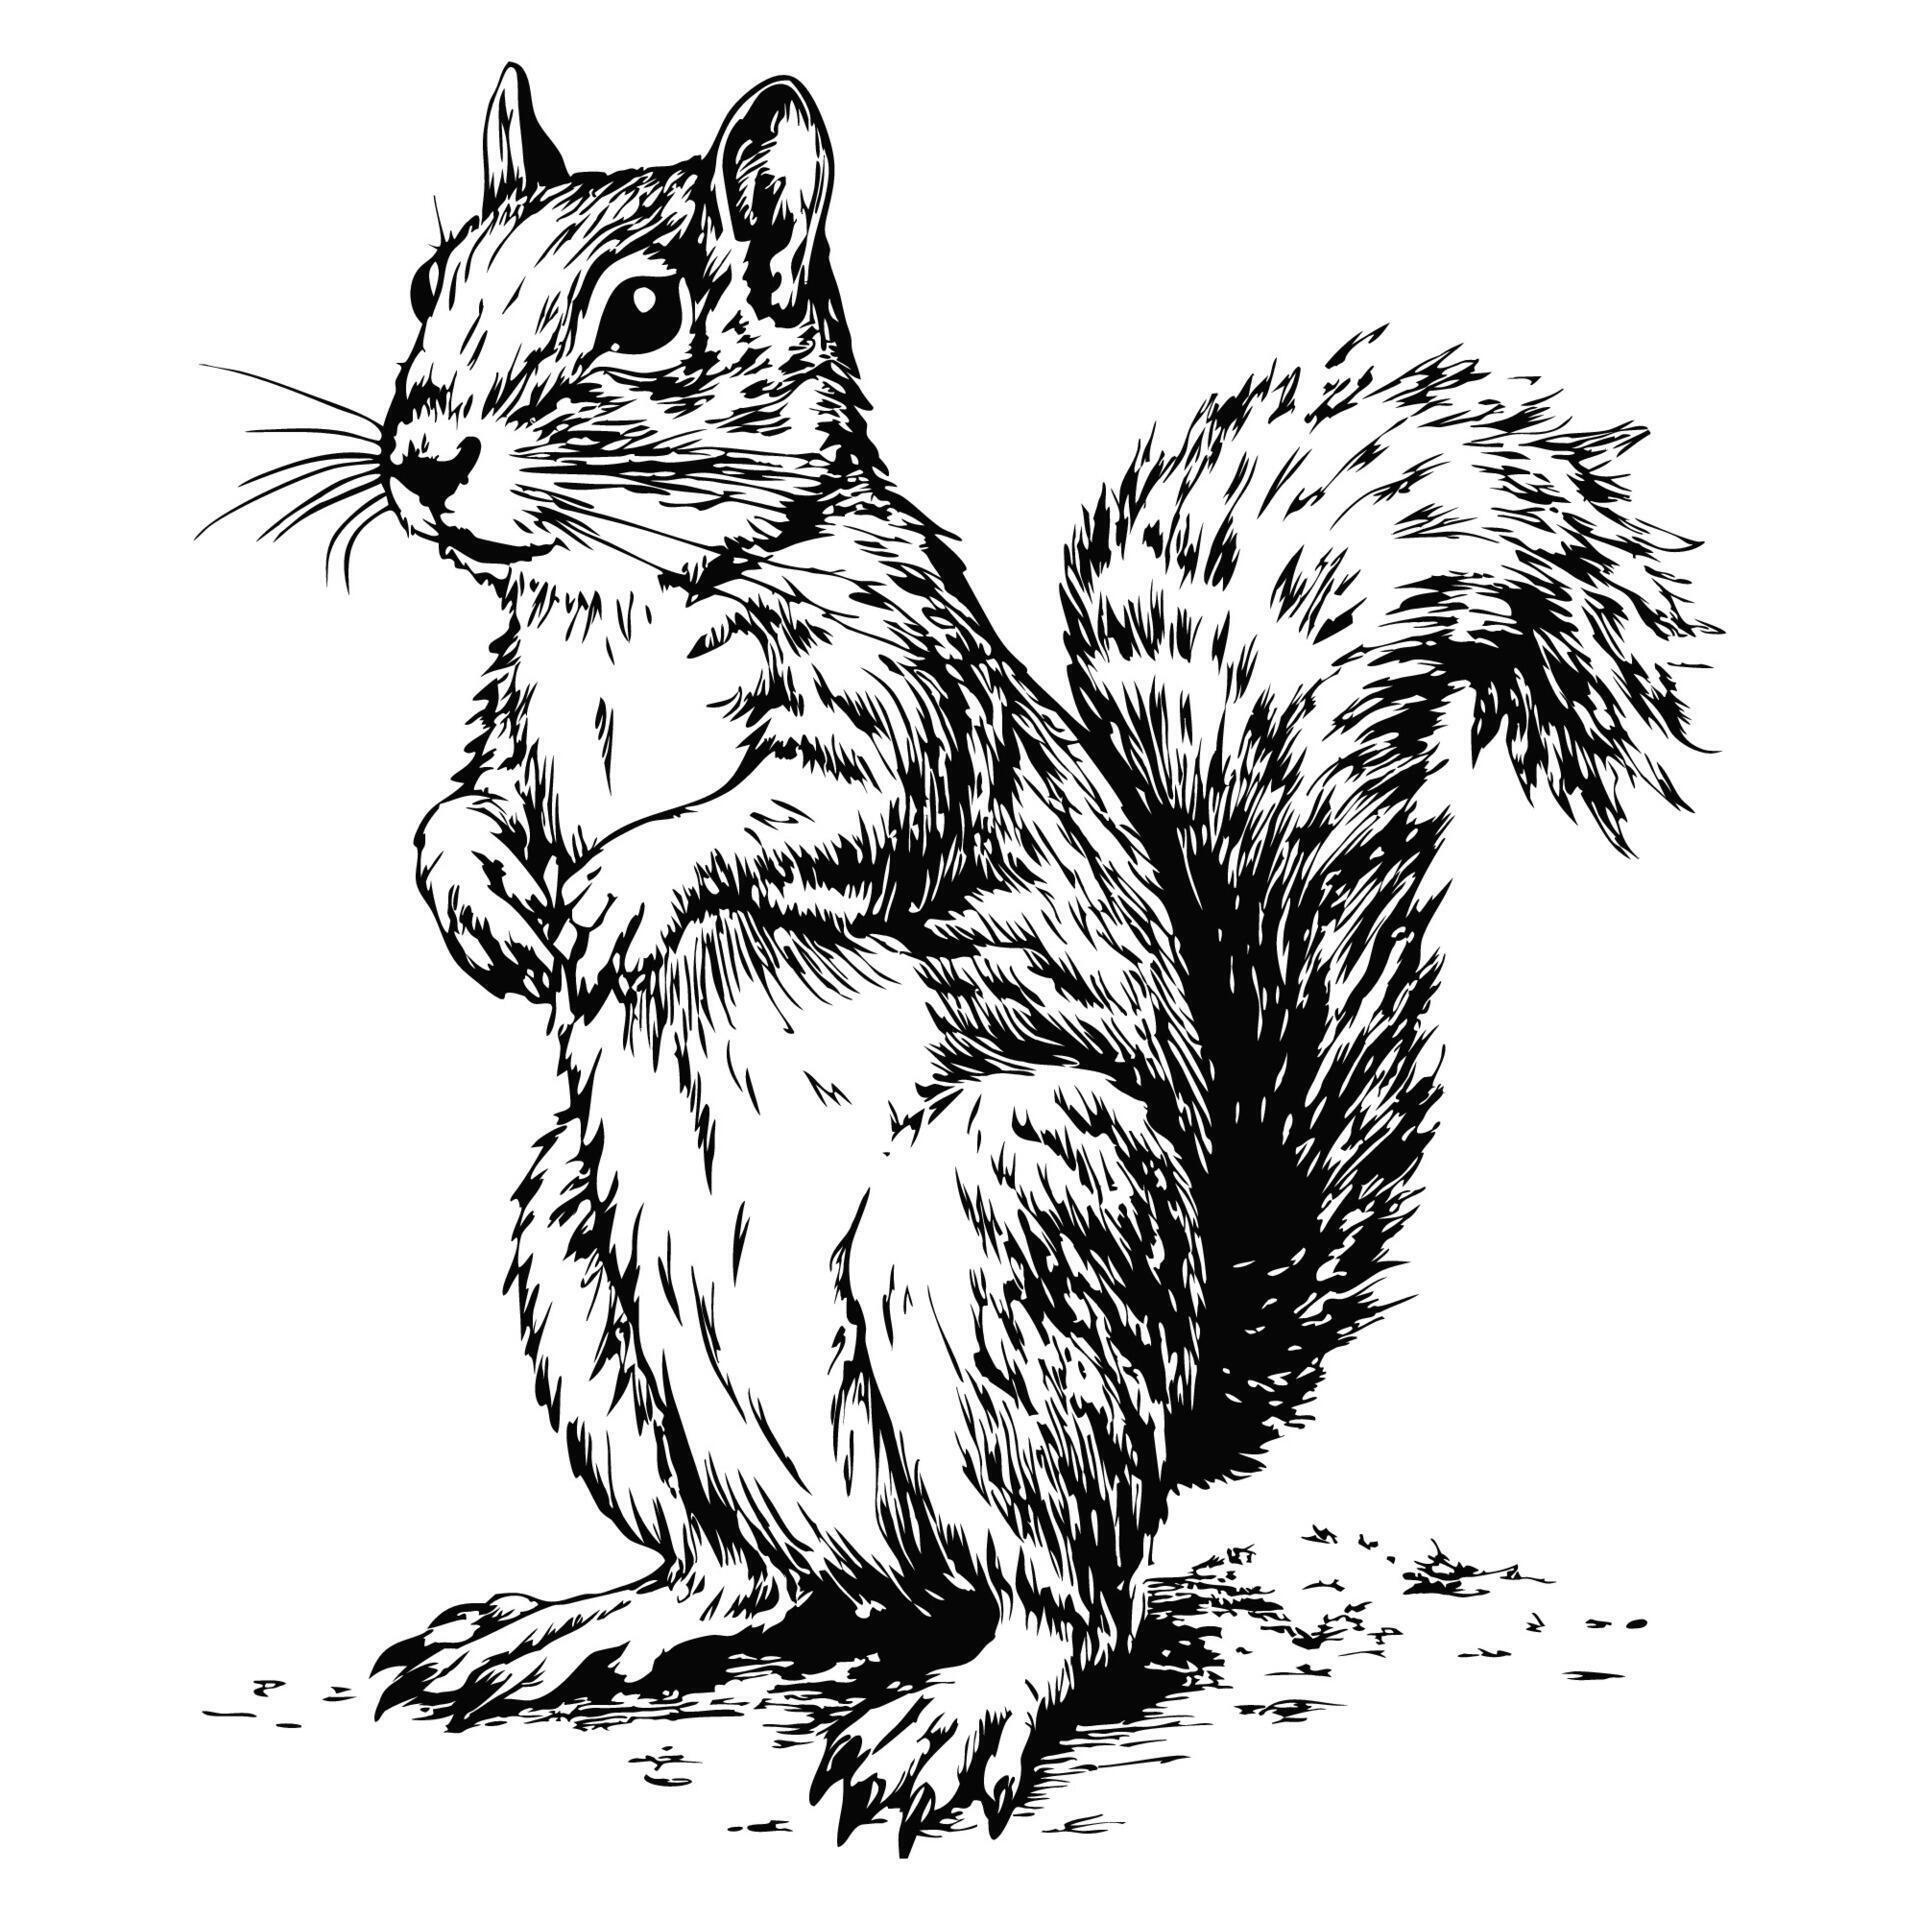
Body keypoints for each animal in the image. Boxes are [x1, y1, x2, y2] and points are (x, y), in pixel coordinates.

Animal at [357, 66, 1704, 1849]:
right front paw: (486, 904)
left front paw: (633, 888)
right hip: (588, 1278)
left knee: (1075, 1604)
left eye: (644, 312)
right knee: (749, 1578)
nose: (425, 460)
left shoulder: (895, 693)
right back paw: (586, 1625)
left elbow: (830, 814)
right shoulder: (517, 719)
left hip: (994, 1226)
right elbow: (463, 804)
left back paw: (960, 1711)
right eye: (425, 285)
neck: (620, 606)